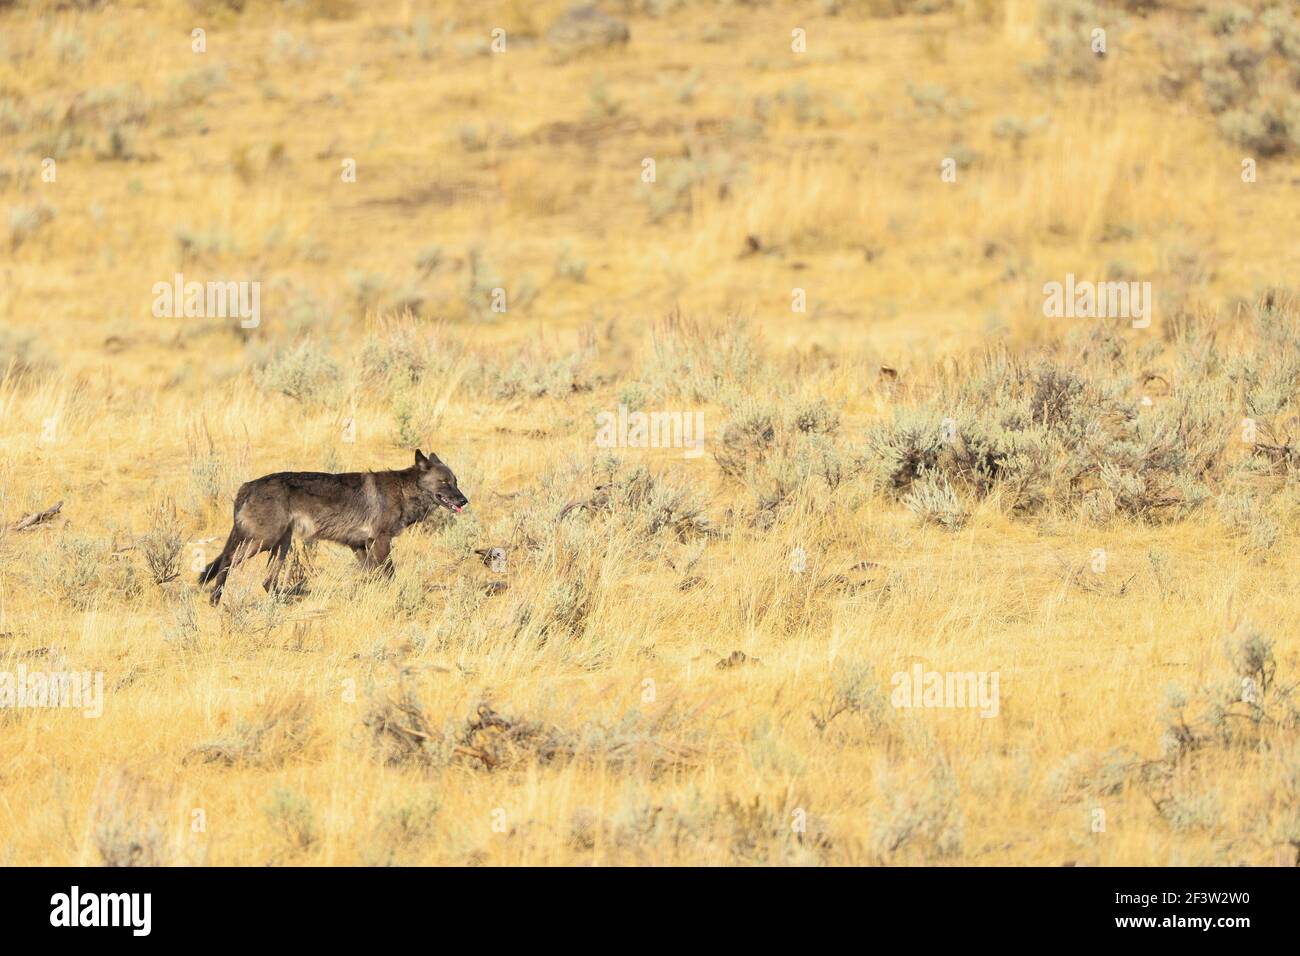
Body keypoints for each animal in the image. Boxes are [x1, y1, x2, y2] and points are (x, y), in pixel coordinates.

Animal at [197, 450, 468, 605]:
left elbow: (373, 576)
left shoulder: (360, 545)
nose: (464, 500)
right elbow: (389, 575)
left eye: (456, 481)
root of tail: (246, 486)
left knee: (267, 582)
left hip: (280, 545)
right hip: (263, 541)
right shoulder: (380, 541)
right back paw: (215, 599)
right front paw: (395, 597)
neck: (402, 490)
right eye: (444, 482)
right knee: (227, 562)